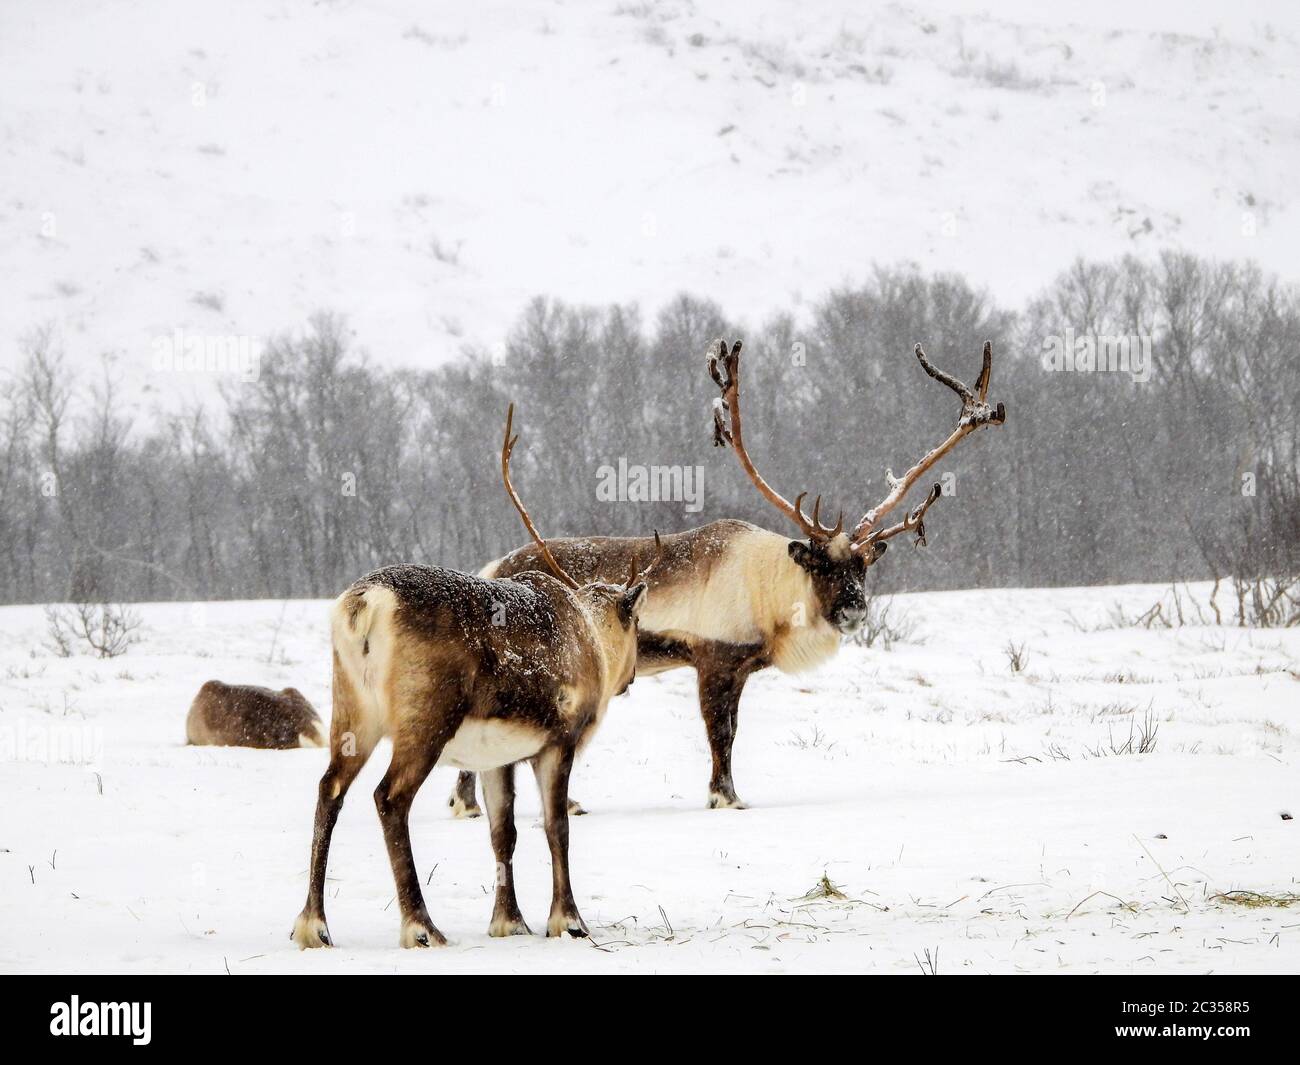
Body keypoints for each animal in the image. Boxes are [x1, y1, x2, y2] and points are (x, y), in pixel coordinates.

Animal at [291, 405, 659, 949]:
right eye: (636, 623)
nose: (632, 673)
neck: (591, 638)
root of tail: (364, 605)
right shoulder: (559, 740)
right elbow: (555, 828)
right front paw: (568, 920)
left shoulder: (495, 757)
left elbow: (502, 833)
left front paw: (509, 921)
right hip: (424, 721)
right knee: (388, 798)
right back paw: (421, 926)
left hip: (353, 714)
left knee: (329, 791)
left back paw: (313, 925)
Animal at [449, 337, 1005, 816]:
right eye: (820, 564)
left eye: (863, 565)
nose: (854, 609)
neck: (769, 594)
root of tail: (490, 569)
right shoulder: (712, 661)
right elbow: (720, 733)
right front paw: (725, 797)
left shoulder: (739, 669)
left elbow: (732, 732)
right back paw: (480, 805)